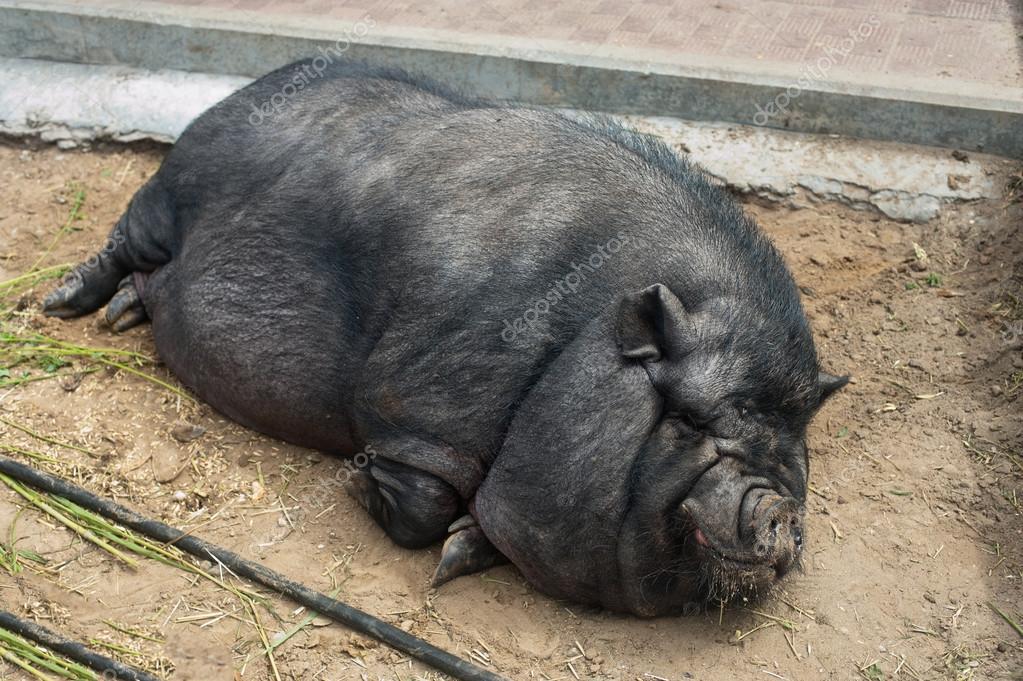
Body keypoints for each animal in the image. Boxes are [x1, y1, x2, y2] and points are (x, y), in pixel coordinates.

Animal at [44, 60, 847, 616]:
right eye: (690, 418)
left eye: (794, 445)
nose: (780, 513)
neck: (576, 335)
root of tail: (250, 87)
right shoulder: (422, 403)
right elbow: (419, 493)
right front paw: (369, 488)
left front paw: (463, 545)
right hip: (166, 195)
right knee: (120, 242)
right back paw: (70, 308)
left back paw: (126, 311)